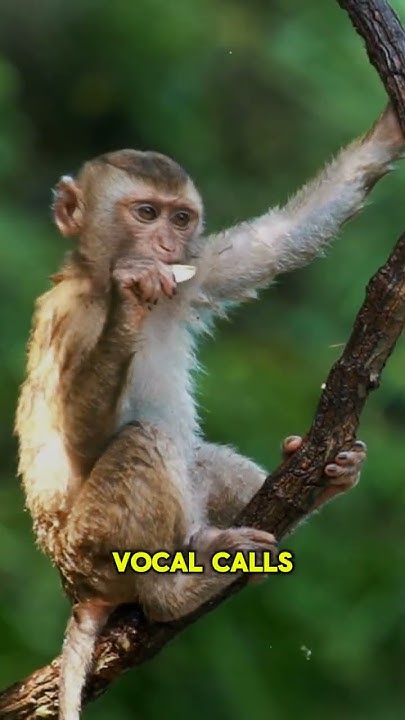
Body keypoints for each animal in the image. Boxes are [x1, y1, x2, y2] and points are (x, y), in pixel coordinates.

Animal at [15, 104, 404, 720]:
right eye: (145, 213)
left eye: (181, 219)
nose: (166, 245)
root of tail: (78, 591)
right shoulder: (70, 319)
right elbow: (79, 438)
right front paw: (128, 300)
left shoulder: (190, 279)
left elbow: (278, 240)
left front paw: (391, 128)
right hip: (93, 548)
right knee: (145, 440)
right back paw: (171, 597)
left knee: (194, 462)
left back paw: (324, 481)